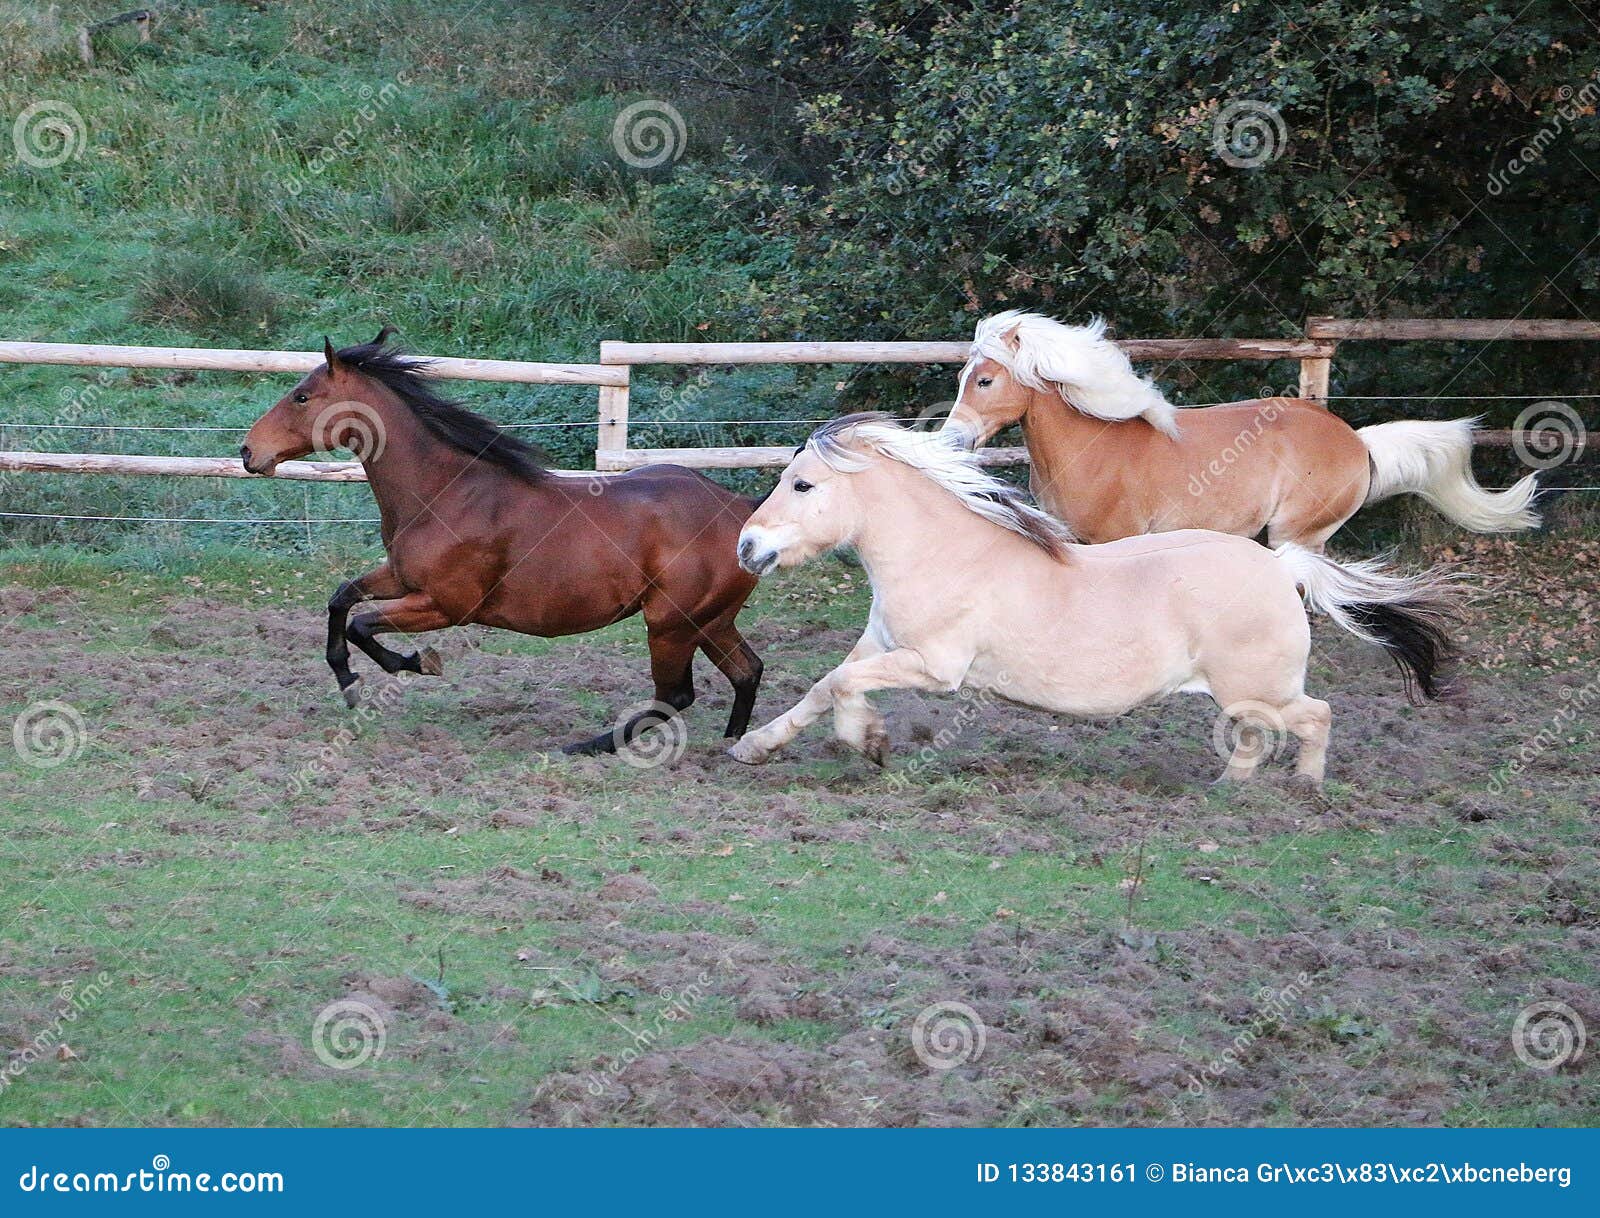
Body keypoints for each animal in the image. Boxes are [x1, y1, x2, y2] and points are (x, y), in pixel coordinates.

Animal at [240, 330, 764, 755]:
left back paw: (586, 746)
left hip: (670, 624)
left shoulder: (448, 605)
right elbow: (341, 600)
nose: (248, 452)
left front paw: (417, 662)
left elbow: (362, 625)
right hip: (709, 622)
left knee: (675, 696)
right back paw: (735, 745)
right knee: (747, 671)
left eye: (302, 396)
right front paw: (349, 680)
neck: (446, 492)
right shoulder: (400, 579)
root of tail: (740, 507)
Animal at [728, 413, 1459, 787]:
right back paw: (1230, 787)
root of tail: (1281, 567)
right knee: (1263, 734)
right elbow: (824, 685)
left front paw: (871, 743)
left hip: (1257, 686)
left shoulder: (934, 666)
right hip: (1247, 692)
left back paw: (1297, 785)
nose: (746, 546)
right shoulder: (880, 644)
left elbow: (843, 685)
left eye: (801, 484)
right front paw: (754, 748)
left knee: (1314, 716)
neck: (946, 553)